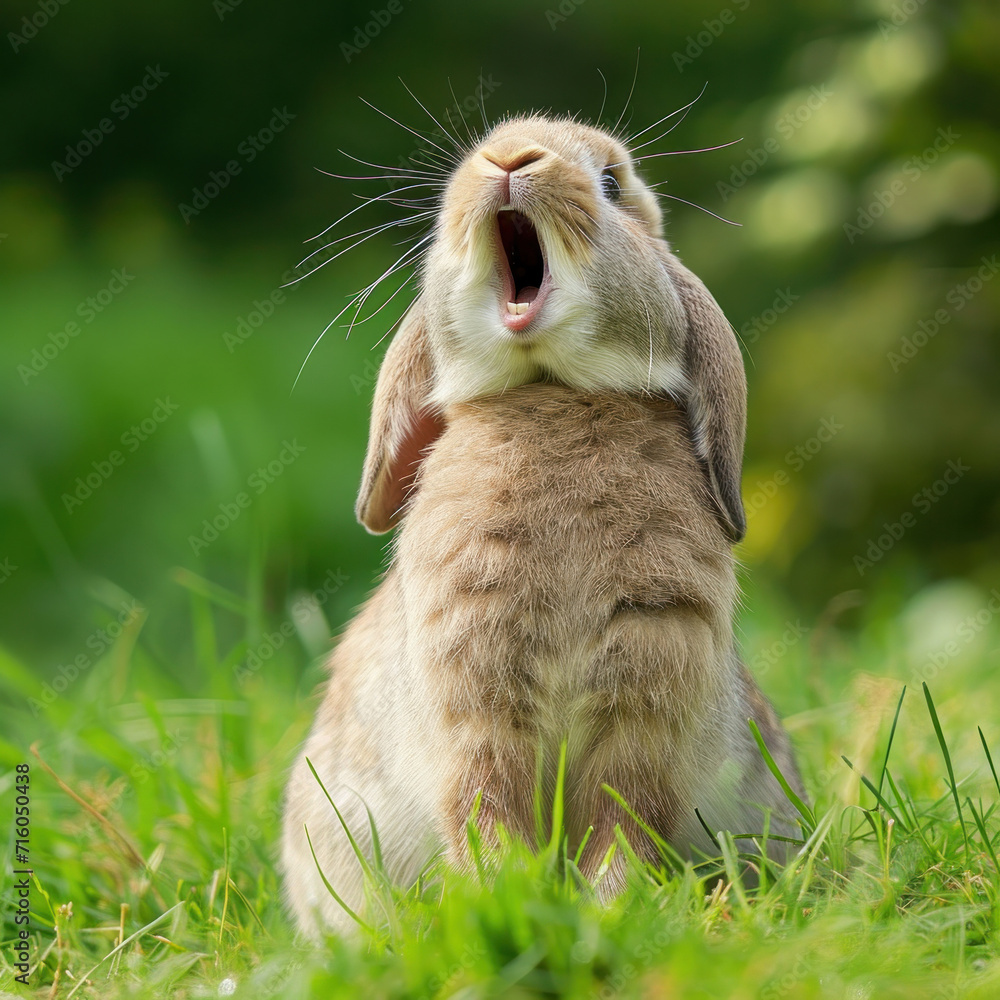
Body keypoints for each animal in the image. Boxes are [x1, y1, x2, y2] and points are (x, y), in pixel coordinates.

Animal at [281, 113, 805, 938]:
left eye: (613, 183)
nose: (507, 158)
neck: (549, 387)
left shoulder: (646, 699)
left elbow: (624, 822)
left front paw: (608, 911)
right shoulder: (476, 704)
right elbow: (485, 811)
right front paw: (510, 901)